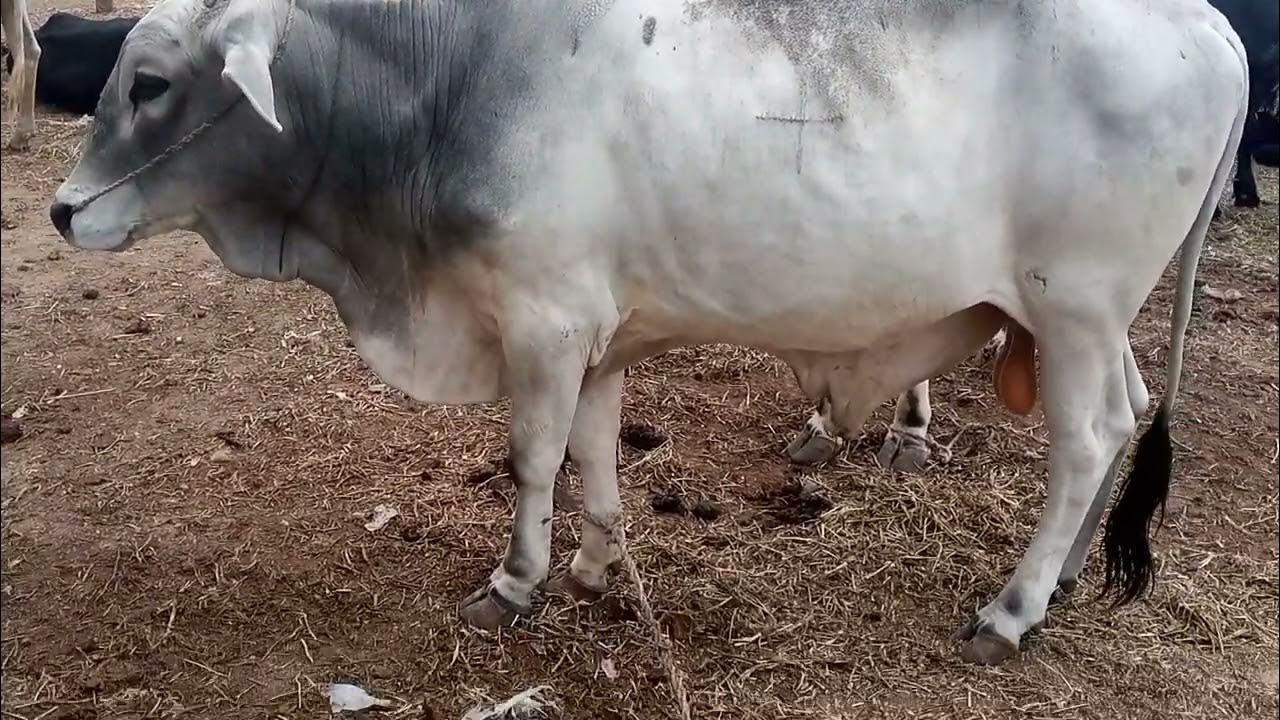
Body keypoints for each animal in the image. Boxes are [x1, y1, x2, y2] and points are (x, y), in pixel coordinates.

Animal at [49, 0, 1247, 666]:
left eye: (148, 83)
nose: (61, 210)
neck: (442, 82)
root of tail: (1214, 27)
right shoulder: (595, 334)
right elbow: (592, 452)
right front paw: (592, 562)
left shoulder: (541, 319)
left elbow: (532, 458)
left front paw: (516, 583)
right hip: (1089, 321)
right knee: (1128, 417)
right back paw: (1070, 576)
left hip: (1075, 307)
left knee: (1088, 439)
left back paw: (1013, 607)